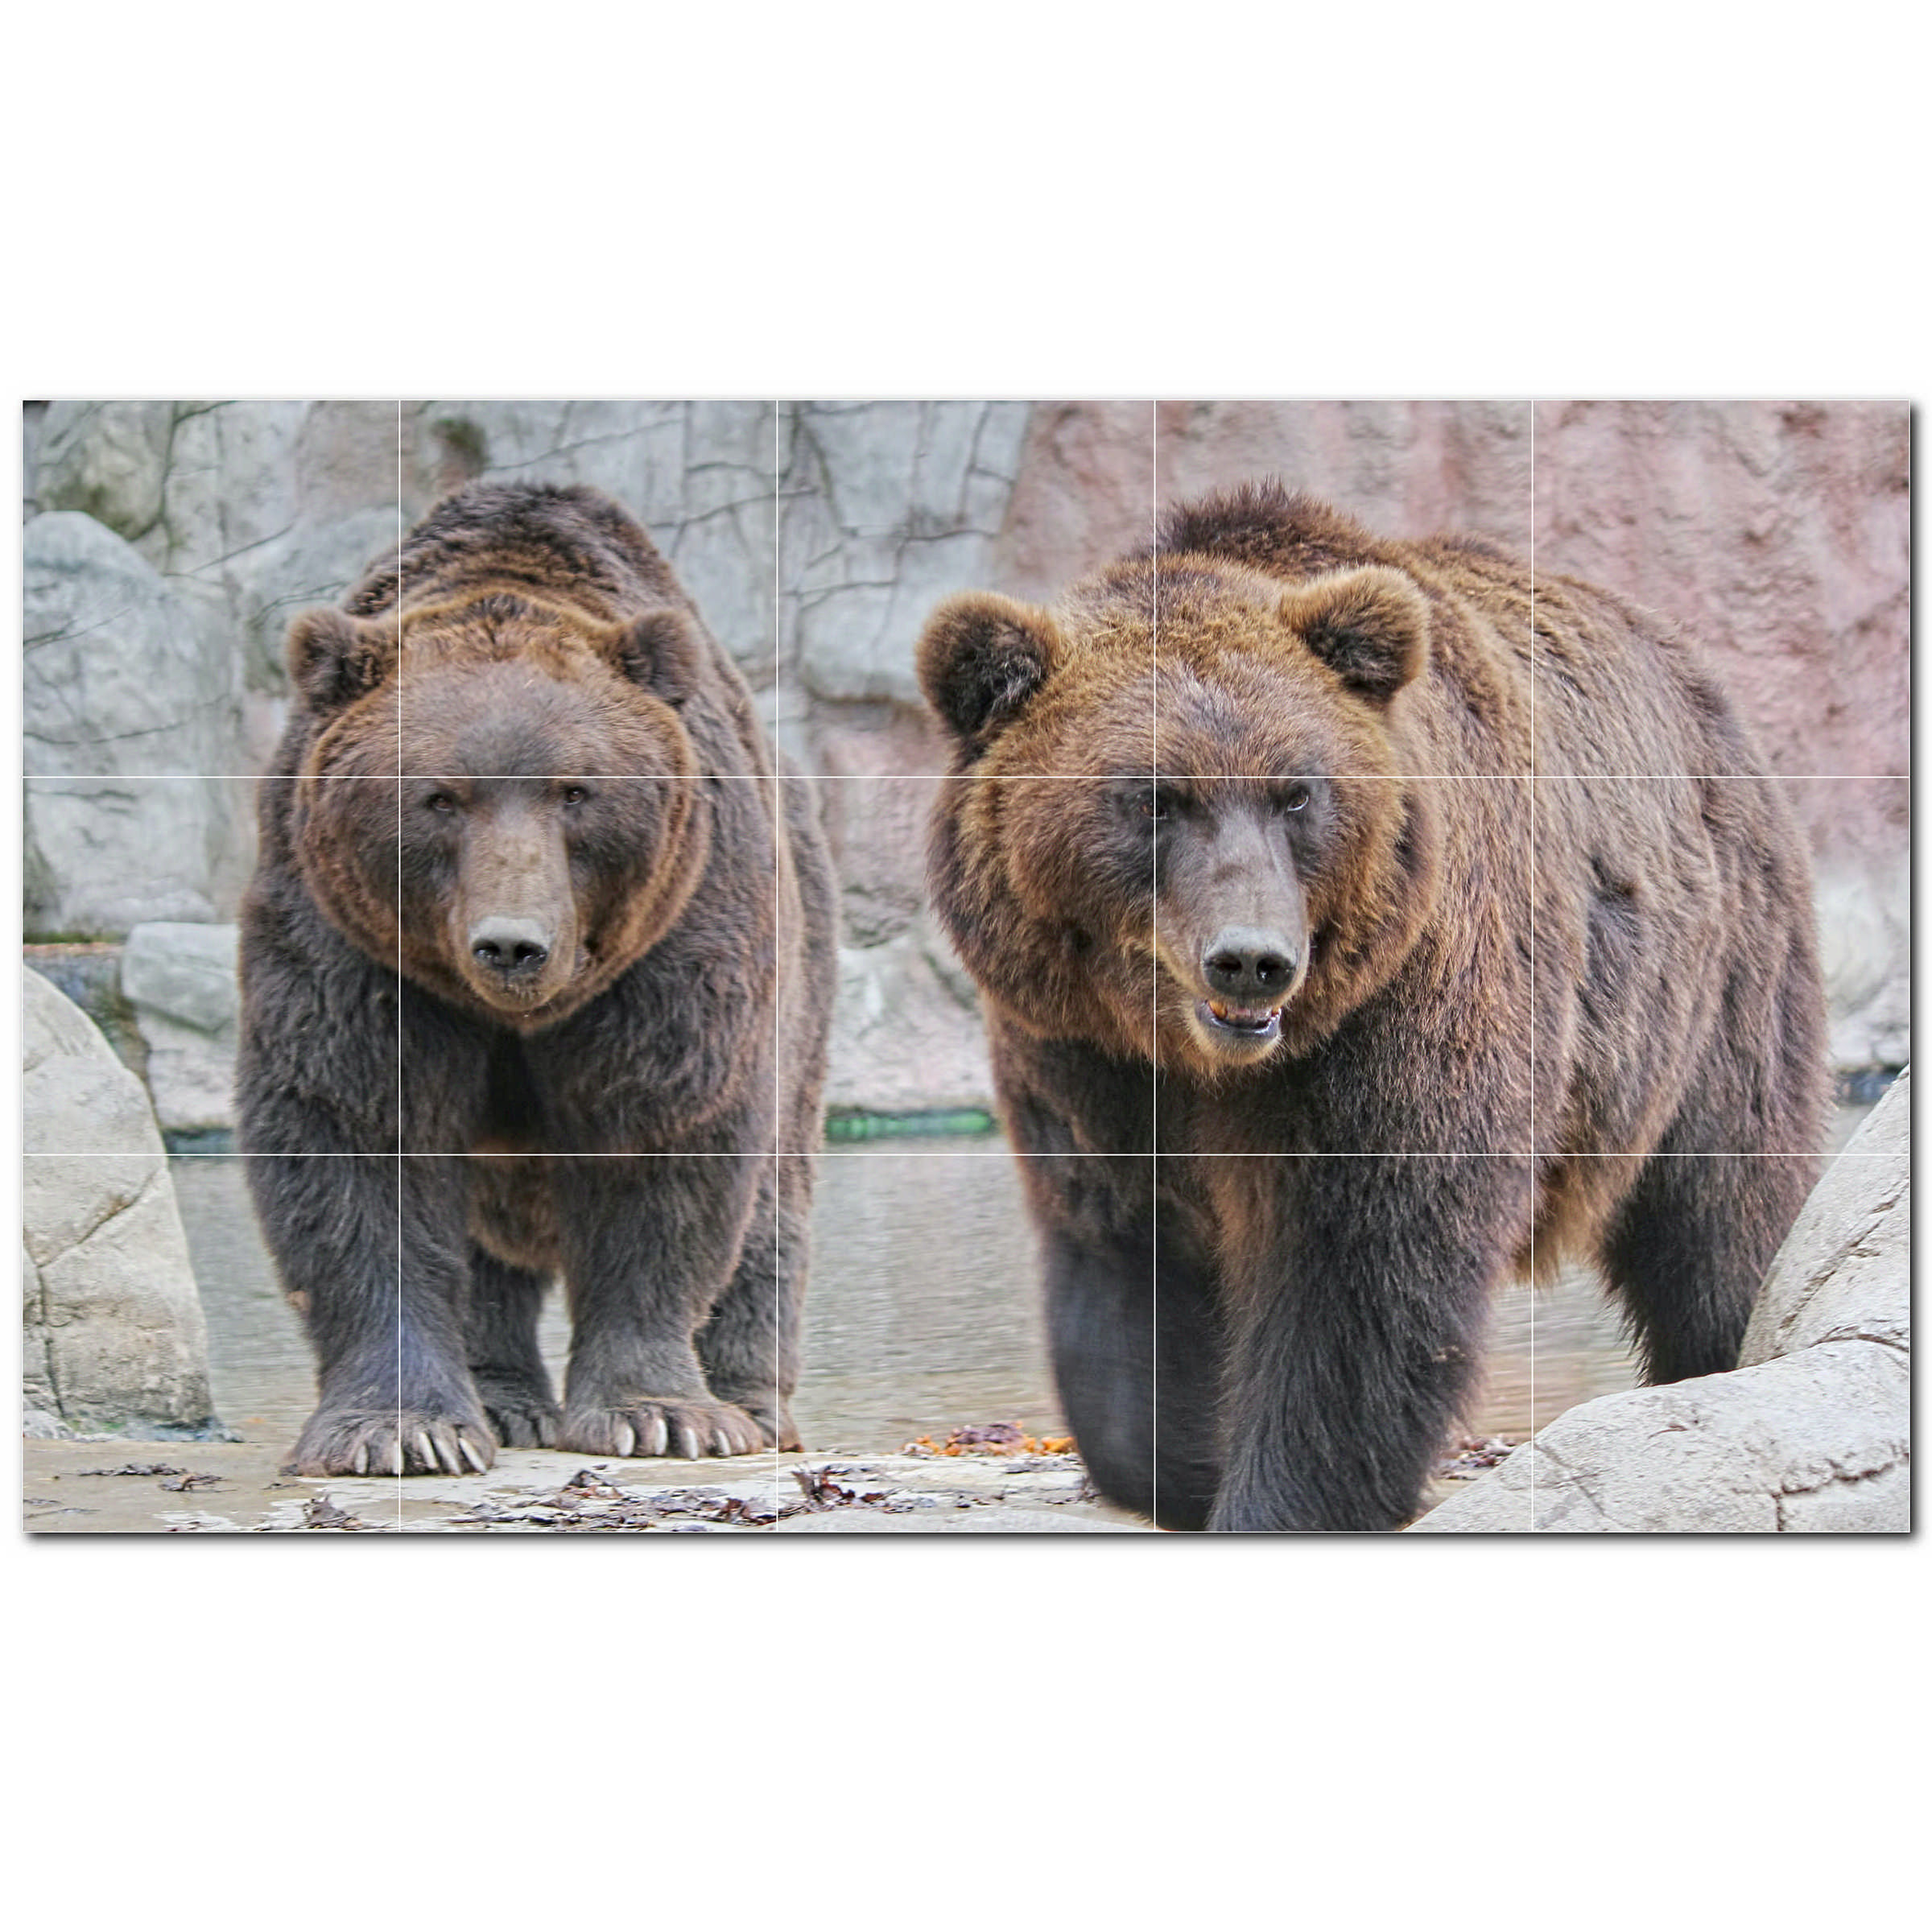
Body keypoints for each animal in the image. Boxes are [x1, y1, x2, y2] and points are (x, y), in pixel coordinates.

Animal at [237, 481, 836, 1478]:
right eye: (440, 796)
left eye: (575, 791)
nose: (513, 946)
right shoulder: (351, 942)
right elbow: (358, 1133)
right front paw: (401, 1431)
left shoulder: (674, 937)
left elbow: (659, 1138)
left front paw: (660, 1415)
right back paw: (504, 1399)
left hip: (804, 969)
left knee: (771, 1203)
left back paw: (752, 1403)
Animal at [917, 480, 1827, 1532]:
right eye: (1151, 798)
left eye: (1295, 795)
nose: (1252, 962)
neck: (1199, 1059)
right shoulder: (1079, 1056)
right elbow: (1124, 1250)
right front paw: (1179, 1459)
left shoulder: (1400, 1009)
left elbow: (1360, 1272)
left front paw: (1279, 1496)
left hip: (1709, 979)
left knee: (1722, 1202)